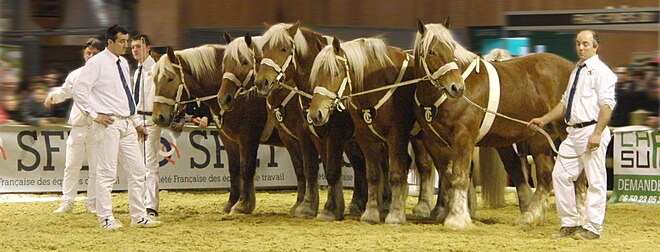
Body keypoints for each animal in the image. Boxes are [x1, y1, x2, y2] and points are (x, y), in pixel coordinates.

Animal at [152, 43, 282, 215]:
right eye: (154, 80)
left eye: (170, 78)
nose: (157, 117)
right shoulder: (228, 138)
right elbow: (234, 169)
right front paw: (232, 202)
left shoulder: (248, 138)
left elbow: (246, 168)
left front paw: (242, 205)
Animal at [310, 38, 444, 224]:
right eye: (316, 75)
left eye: (335, 73)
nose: (316, 114)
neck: (378, 83)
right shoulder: (365, 138)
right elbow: (373, 174)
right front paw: (372, 212)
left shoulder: (396, 136)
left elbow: (396, 173)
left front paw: (395, 215)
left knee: (429, 166)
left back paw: (431, 207)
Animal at [416, 18, 580, 229]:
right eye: (431, 52)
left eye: (452, 50)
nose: (457, 87)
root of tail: (573, 67)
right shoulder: (434, 142)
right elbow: (447, 177)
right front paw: (447, 213)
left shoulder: (463, 137)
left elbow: (459, 176)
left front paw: (457, 219)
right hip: (540, 135)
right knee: (546, 174)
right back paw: (531, 216)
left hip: (565, 131)